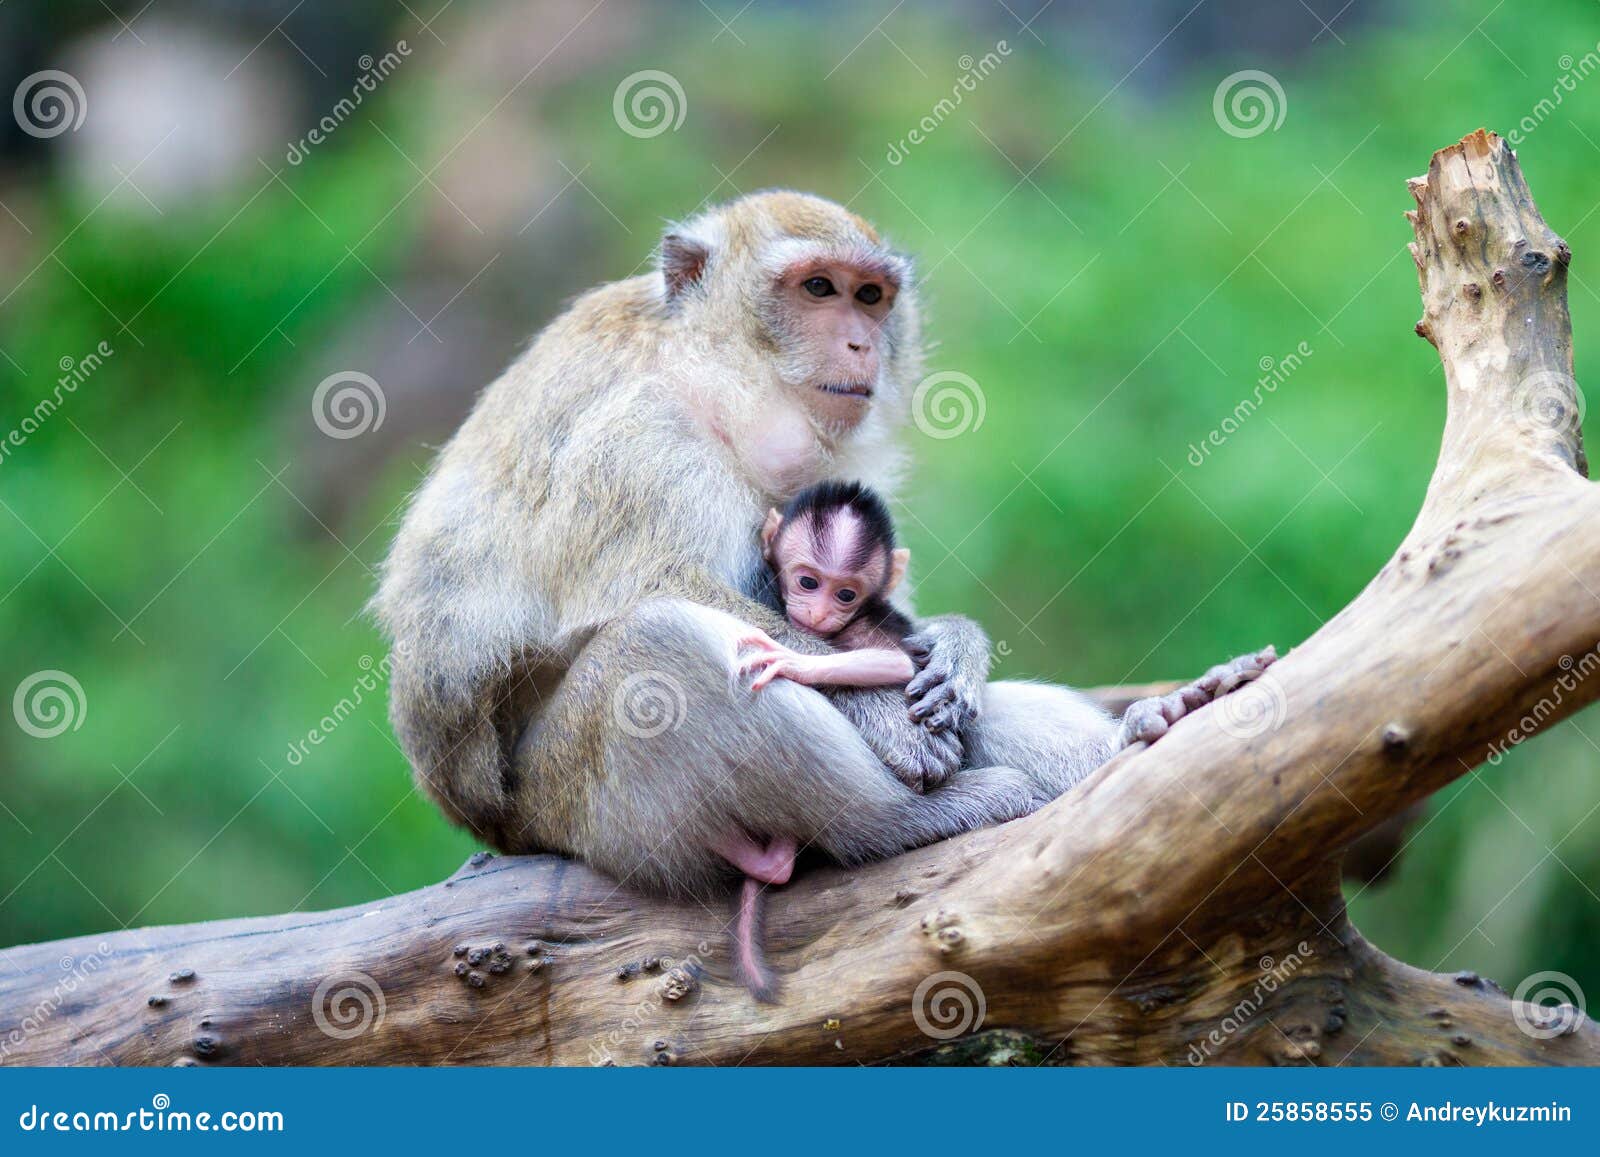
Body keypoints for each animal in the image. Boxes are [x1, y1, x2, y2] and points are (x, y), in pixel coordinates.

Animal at [373, 190, 1277, 1000]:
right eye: (817, 288)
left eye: (869, 296)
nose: (859, 341)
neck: (708, 374)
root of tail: (497, 825)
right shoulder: (636, 439)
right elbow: (653, 588)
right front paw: (887, 718)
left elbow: (897, 626)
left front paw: (958, 646)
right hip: (587, 809)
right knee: (664, 648)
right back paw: (899, 820)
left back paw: (1154, 724)